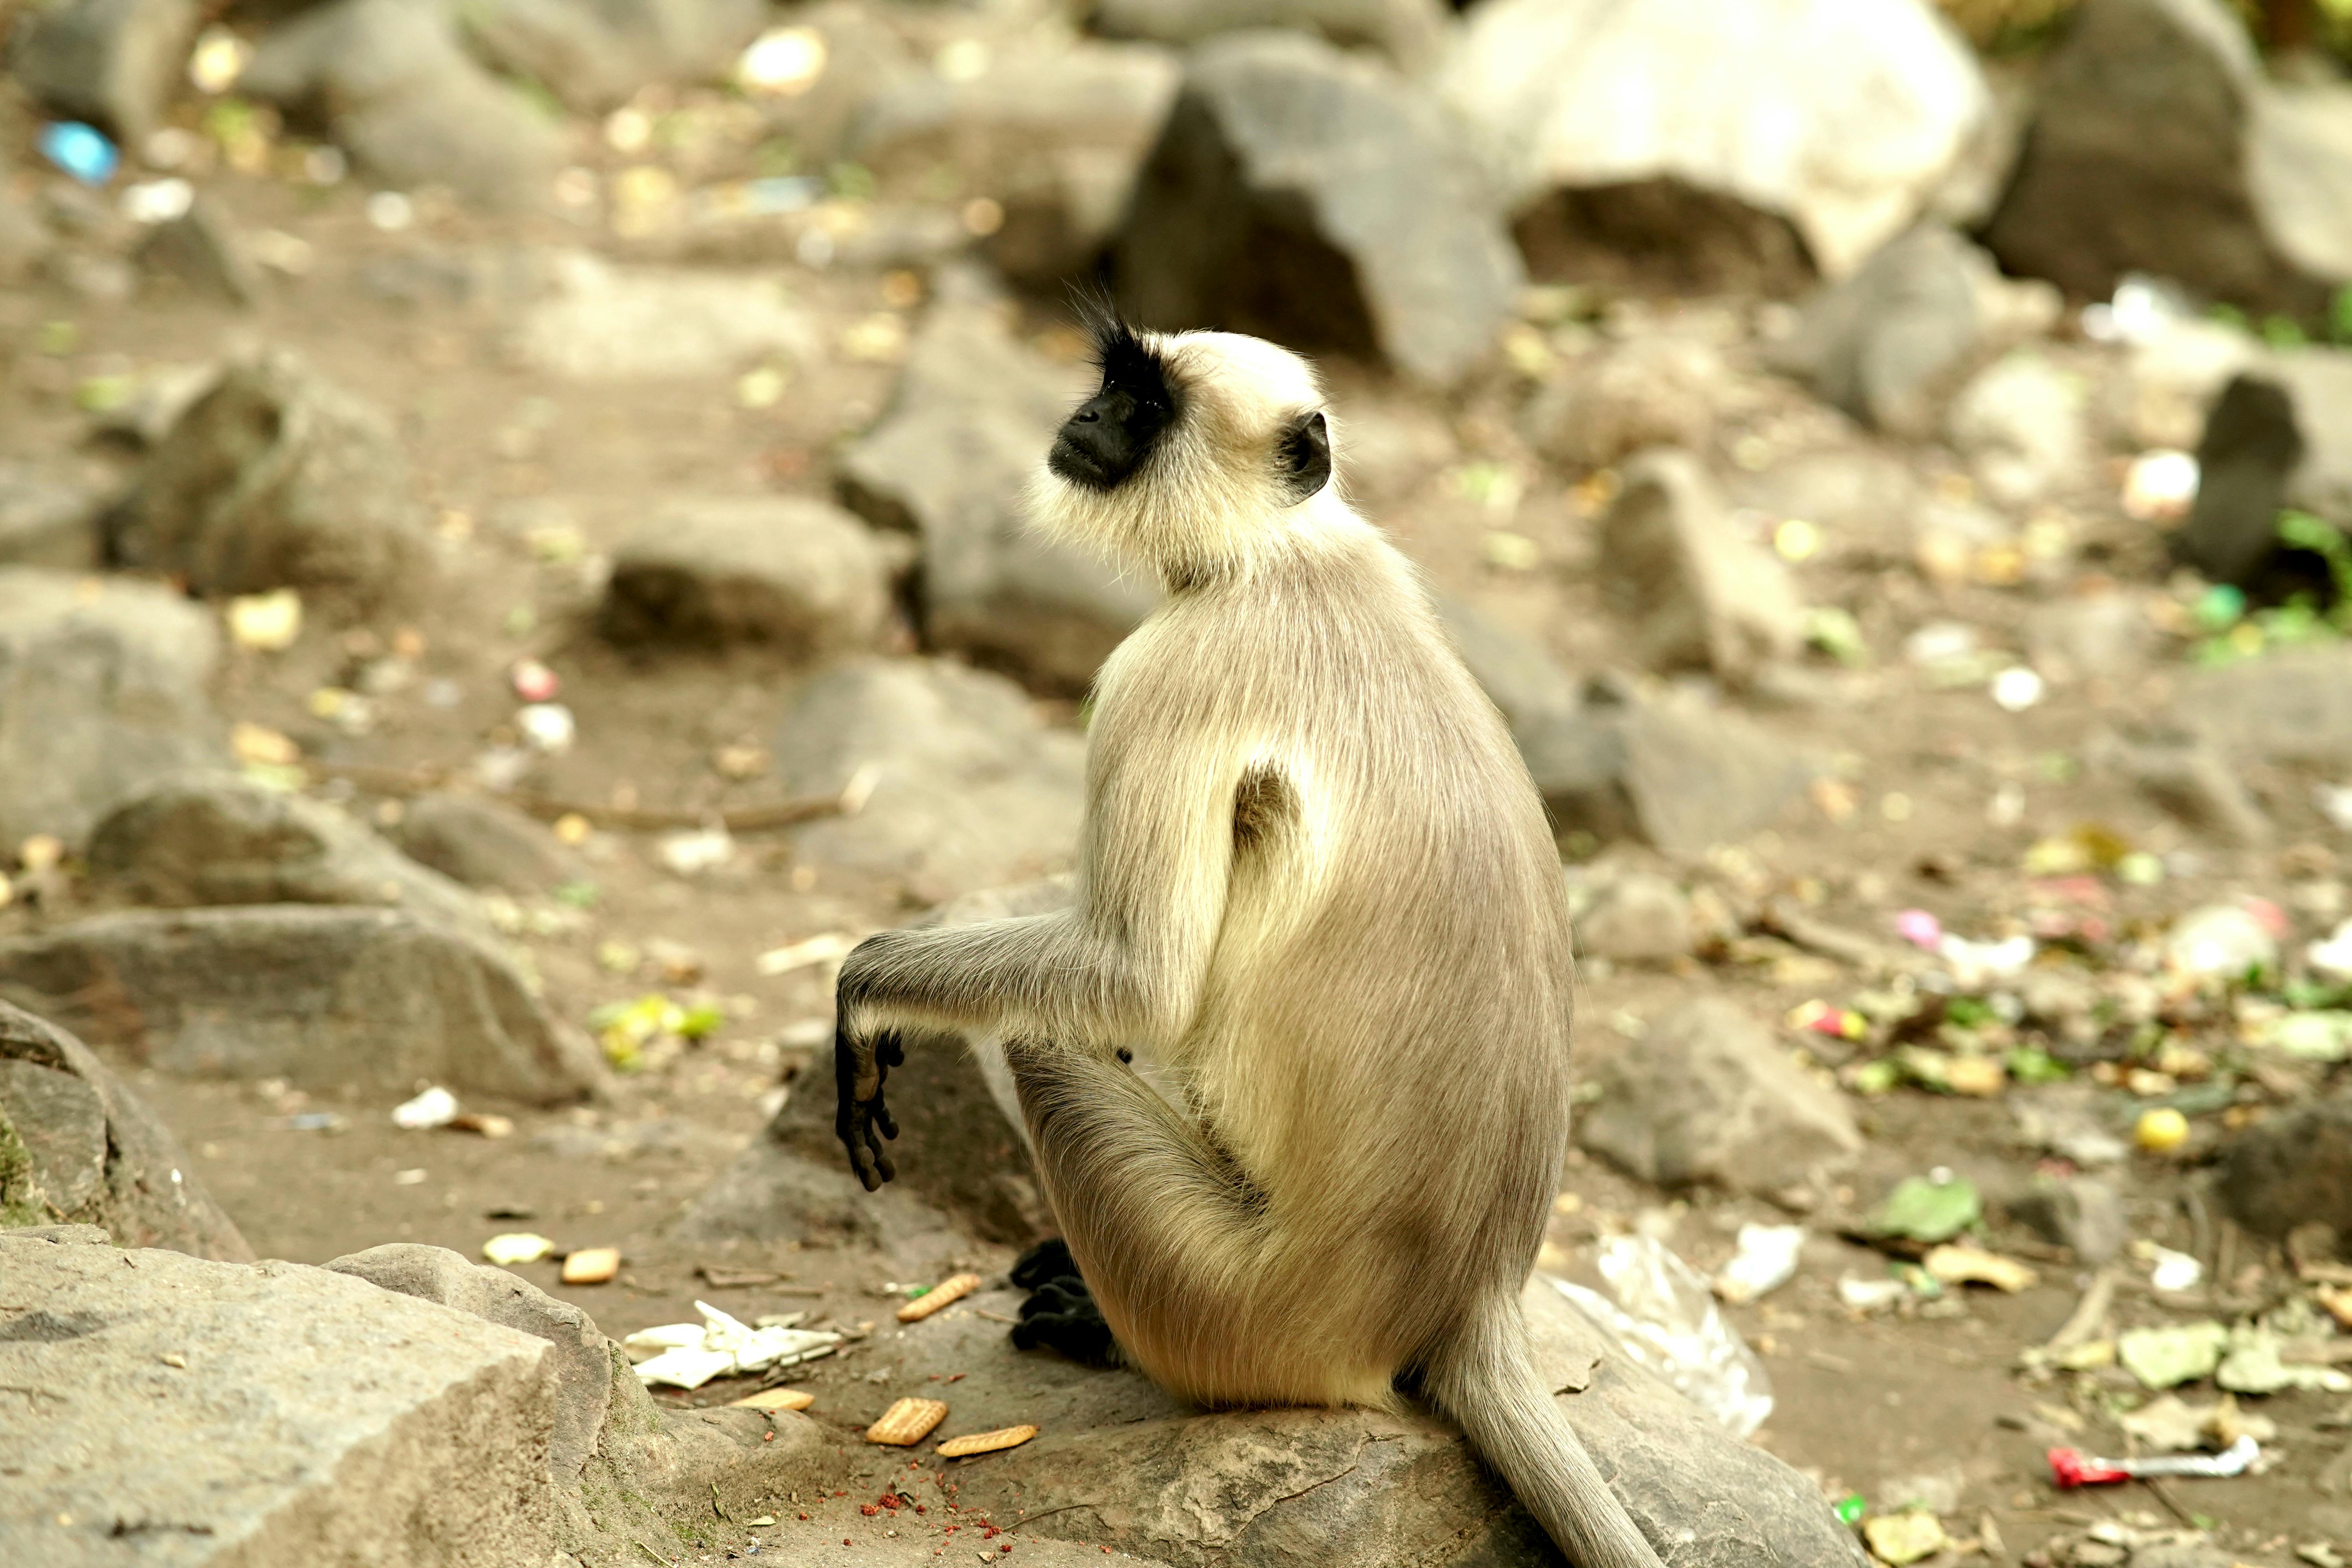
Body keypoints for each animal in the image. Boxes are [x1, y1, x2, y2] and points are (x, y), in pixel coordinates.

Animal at [831, 305, 1665, 1568]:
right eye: (1113, 387)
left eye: (1144, 406)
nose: (1081, 417)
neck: (1282, 555)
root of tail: (1471, 1300)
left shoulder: (1164, 673)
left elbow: (1140, 982)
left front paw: (867, 986)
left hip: (1238, 1306)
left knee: (1046, 1044)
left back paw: (1104, 1330)